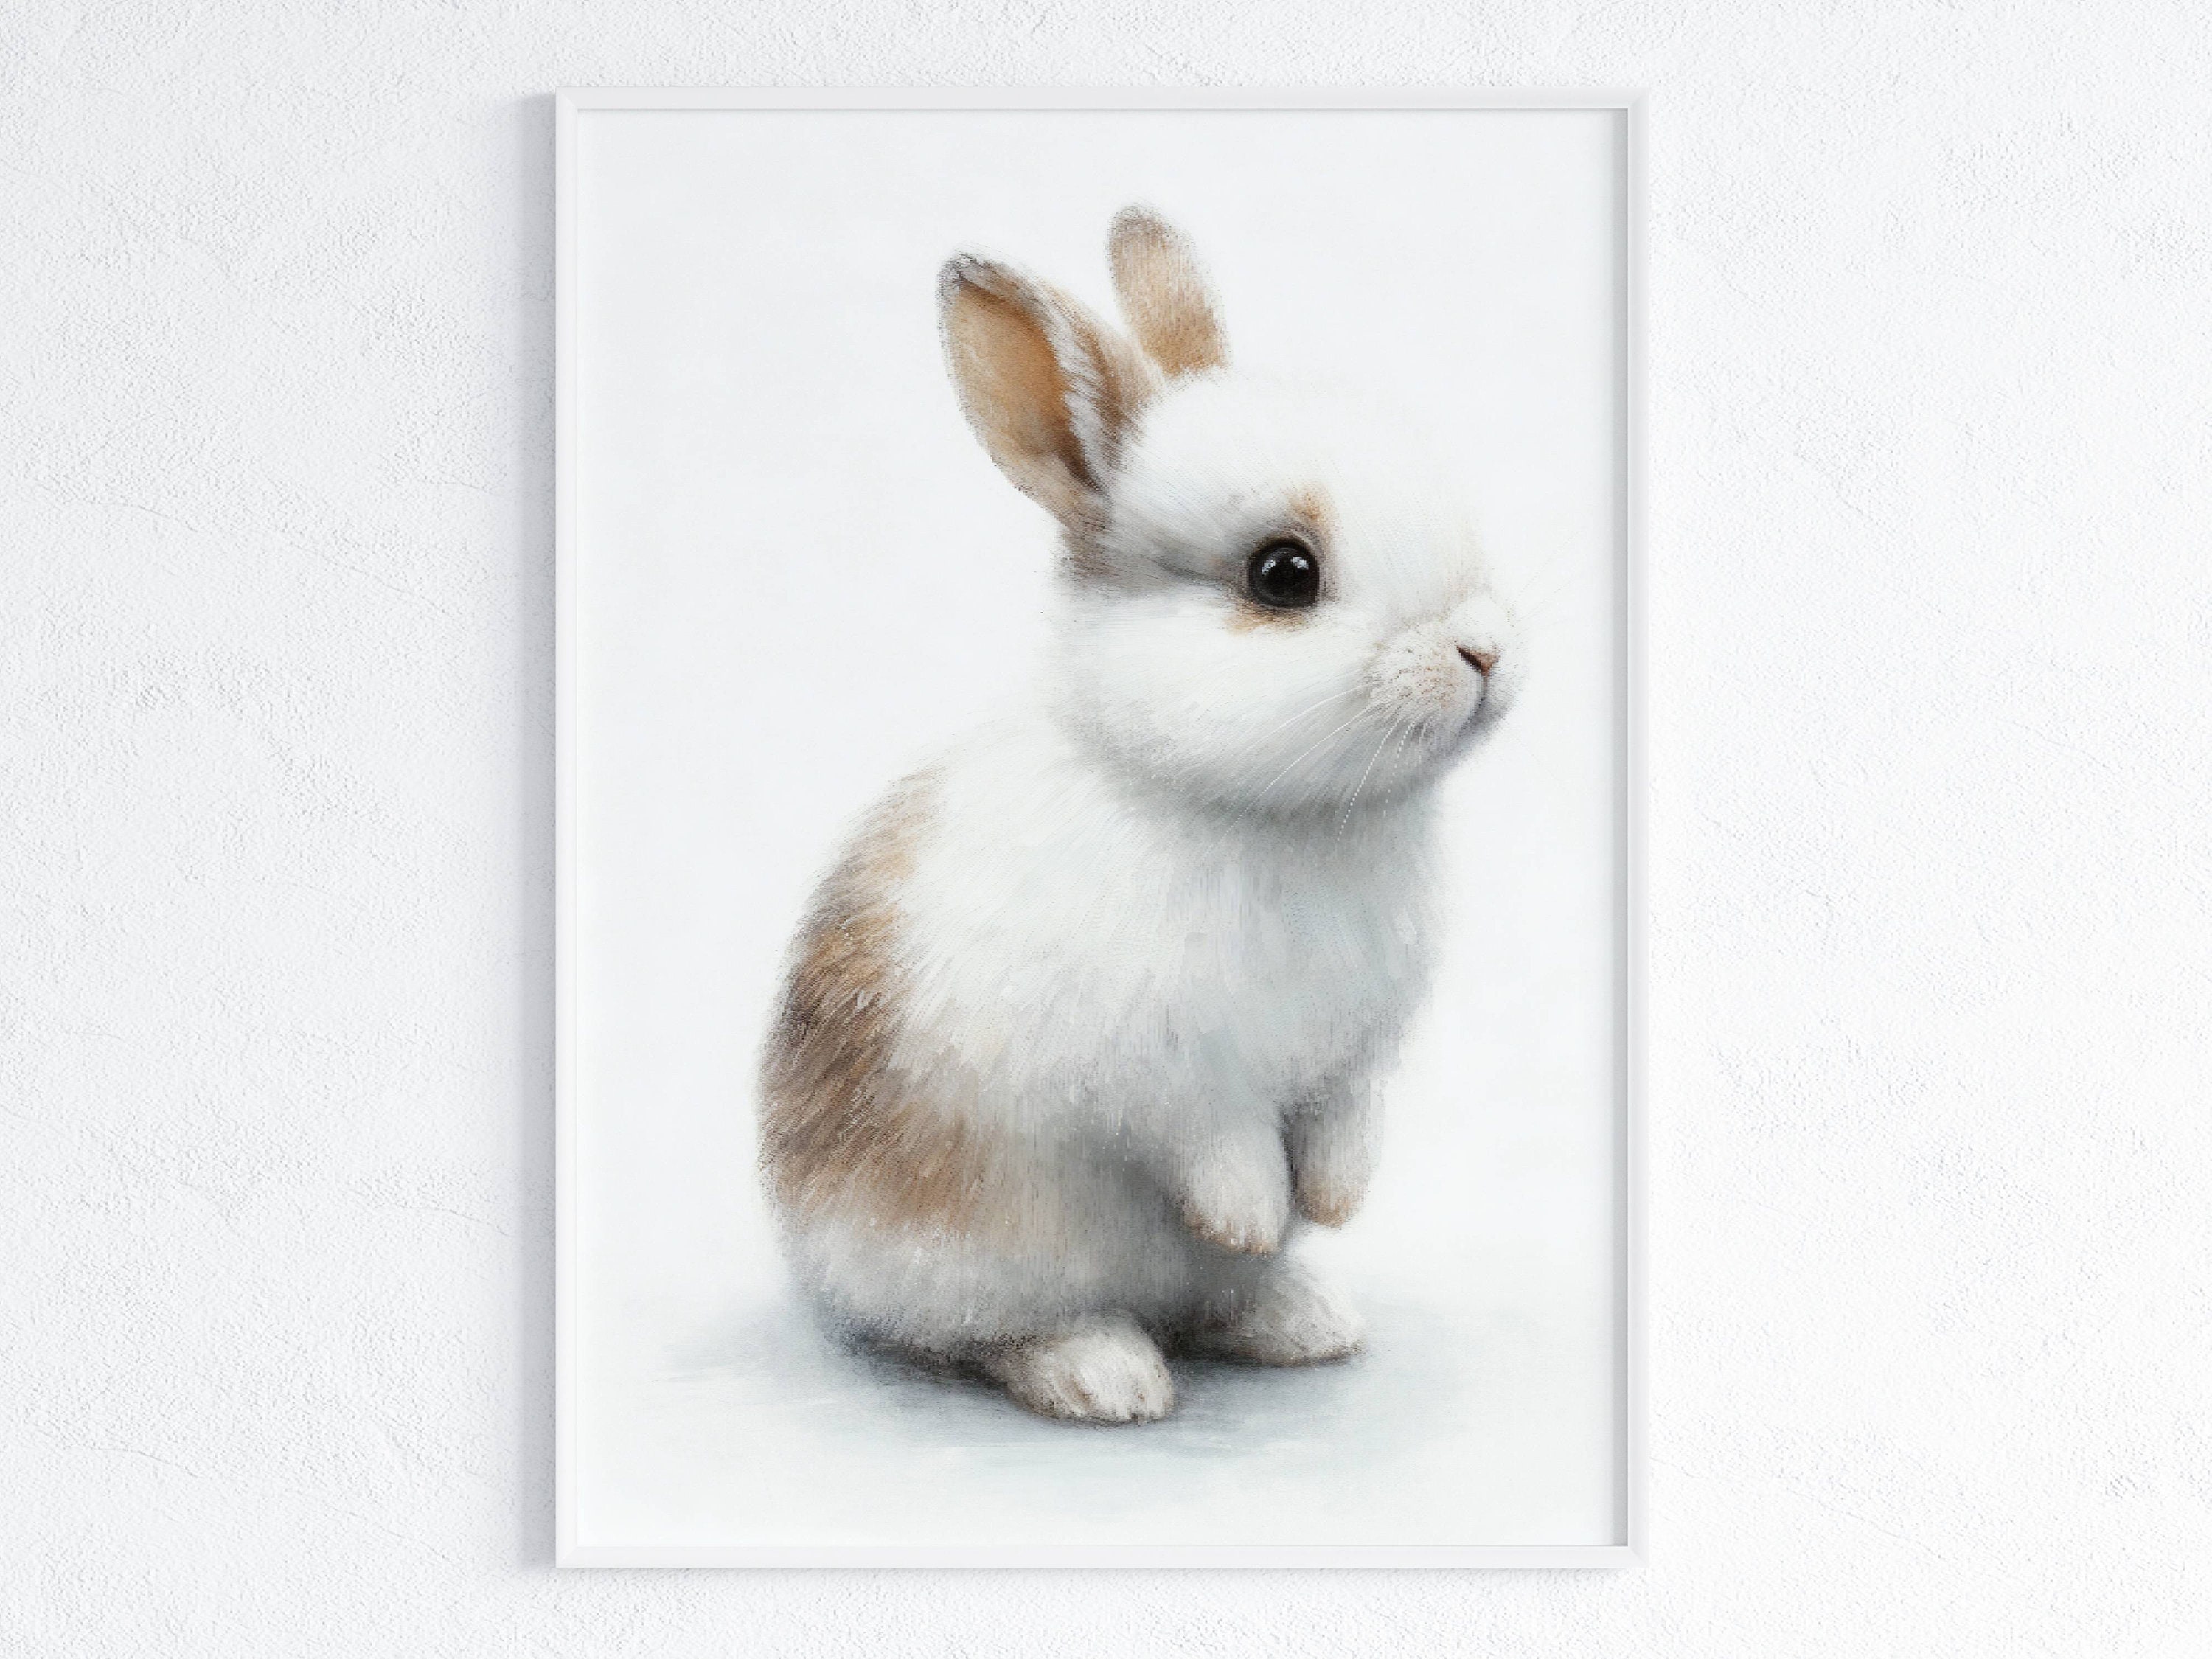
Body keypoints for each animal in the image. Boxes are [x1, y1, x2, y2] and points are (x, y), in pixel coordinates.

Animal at [759, 206, 1520, 1424]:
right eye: (1283, 573)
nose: (1484, 649)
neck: (1275, 814)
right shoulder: (1170, 1067)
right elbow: (1215, 1142)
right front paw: (1255, 1214)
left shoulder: (1358, 1055)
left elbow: (1346, 1125)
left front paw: (1334, 1206)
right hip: (973, 1252)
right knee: (988, 1335)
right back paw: (1106, 1374)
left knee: (1205, 1303)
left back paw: (1301, 1315)